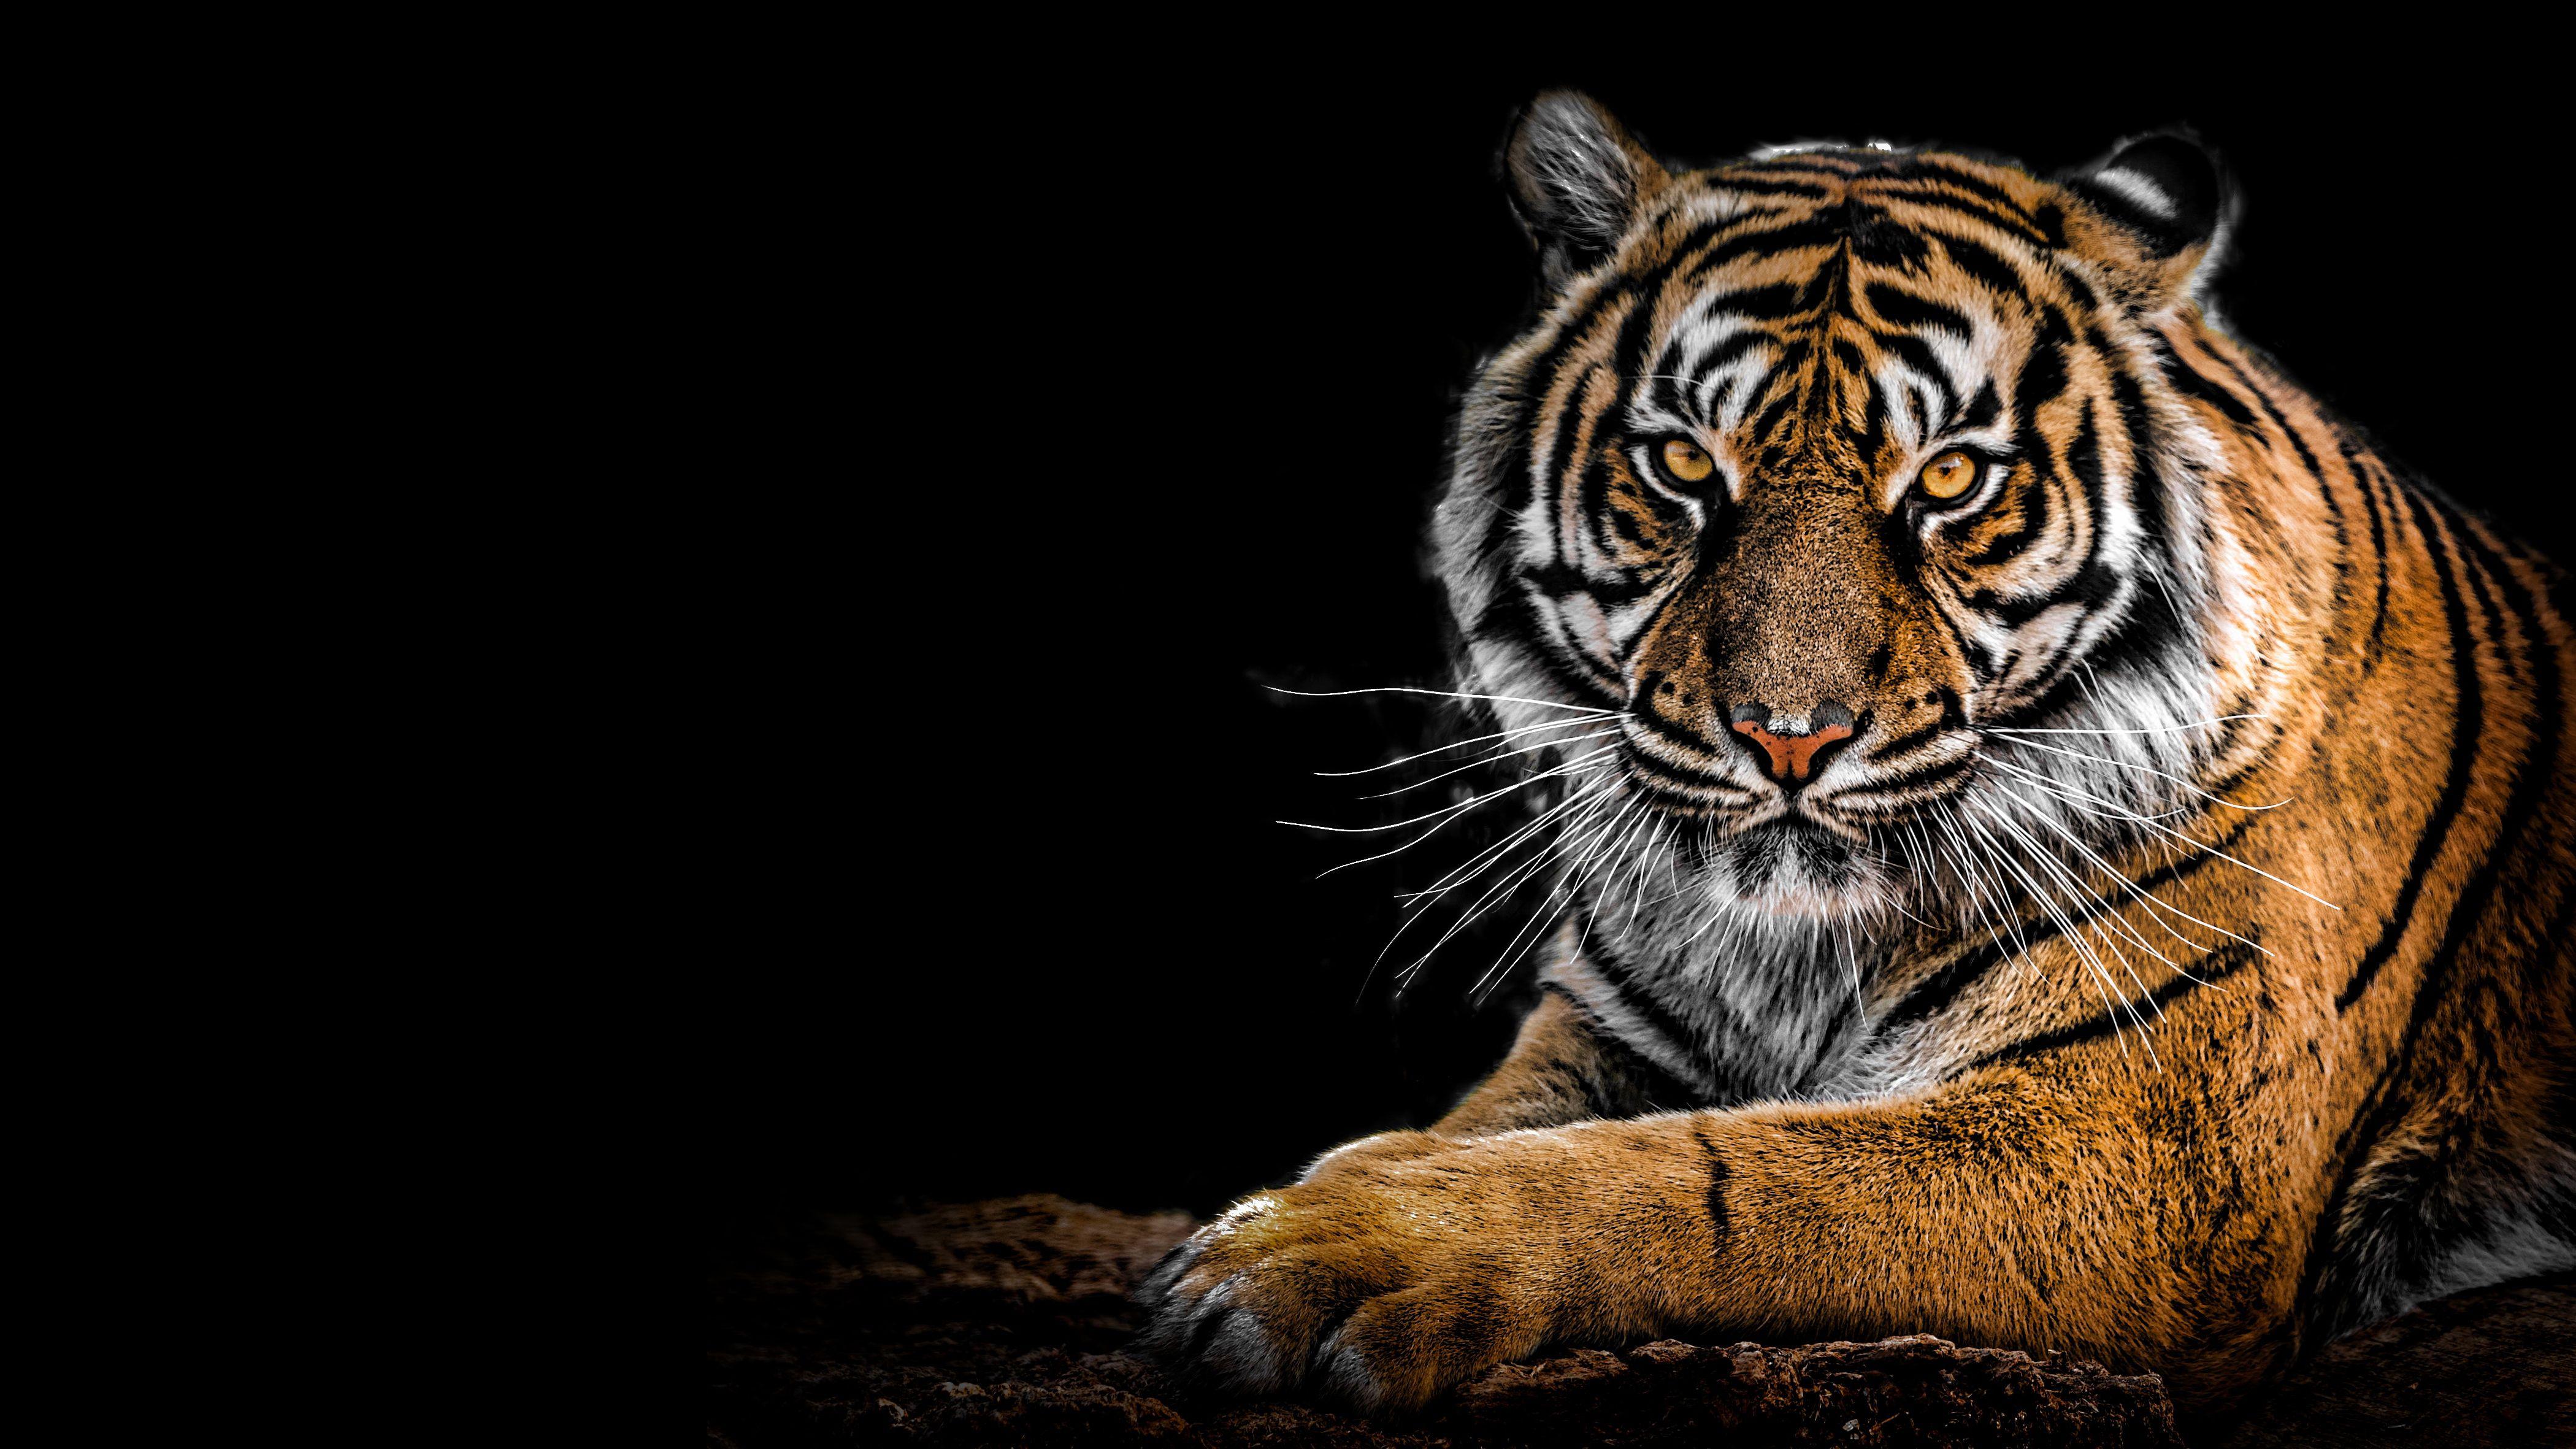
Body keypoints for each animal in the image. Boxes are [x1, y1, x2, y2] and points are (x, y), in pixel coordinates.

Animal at [1136, 91, 2576, 1423]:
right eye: (1680, 465)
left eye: (1948, 480)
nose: (1791, 737)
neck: (1793, 954)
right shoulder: (1605, 1030)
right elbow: (1491, 1130)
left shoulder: (2149, 1150)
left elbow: (1708, 1176)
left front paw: (1320, 1255)